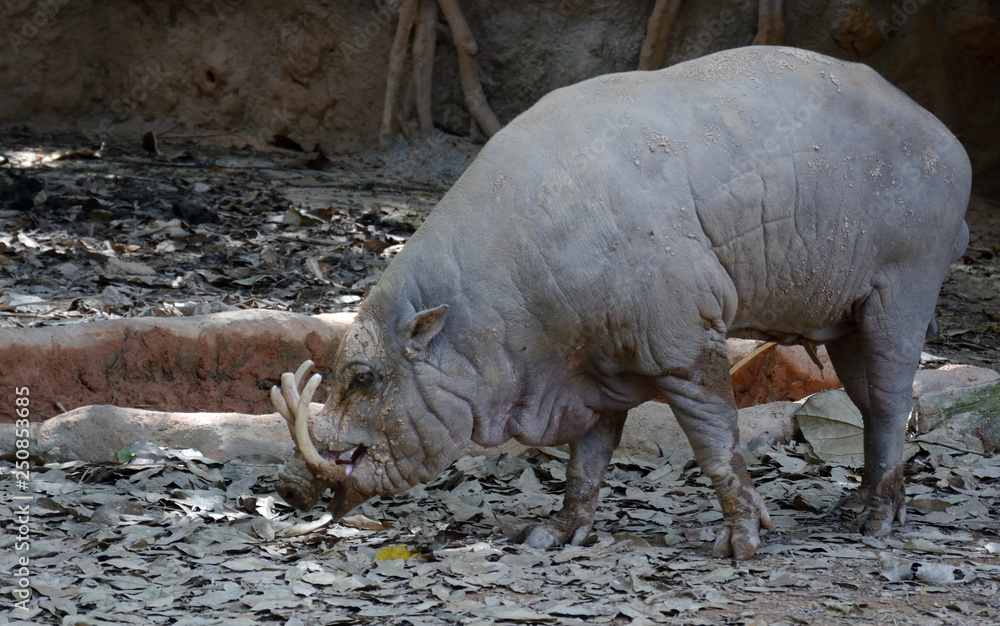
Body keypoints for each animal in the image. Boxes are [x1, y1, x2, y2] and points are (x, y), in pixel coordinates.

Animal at [271, 46, 970, 559]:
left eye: (364, 377)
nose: (285, 485)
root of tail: (951, 143)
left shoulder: (681, 341)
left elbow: (717, 443)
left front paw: (742, 541)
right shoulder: (591, 366)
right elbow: (588, 455)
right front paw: (552, 533)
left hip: (903, 286)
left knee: (891, 399)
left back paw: (877, 517)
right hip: (845, 316)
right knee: (867, 398)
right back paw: (860, 504)